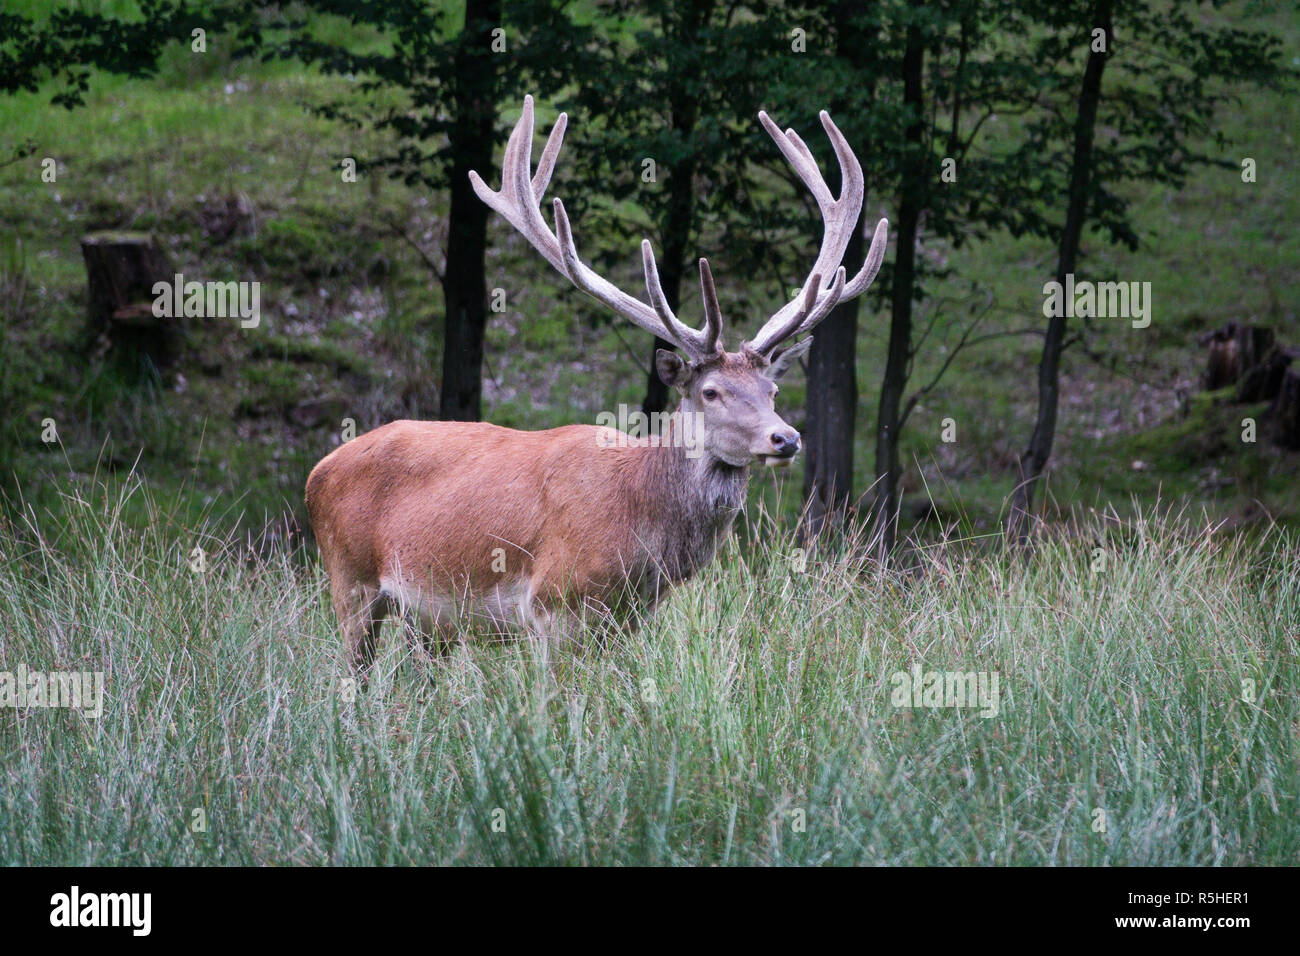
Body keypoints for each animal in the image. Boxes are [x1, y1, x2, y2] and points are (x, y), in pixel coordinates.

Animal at [305, 95, 888, 669]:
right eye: (711, 392)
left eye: (772, 391)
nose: (785, 438)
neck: (639, 517)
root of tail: (318, 470)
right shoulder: (552, 602)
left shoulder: (629, 618)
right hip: (350, 579)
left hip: (426, 622)